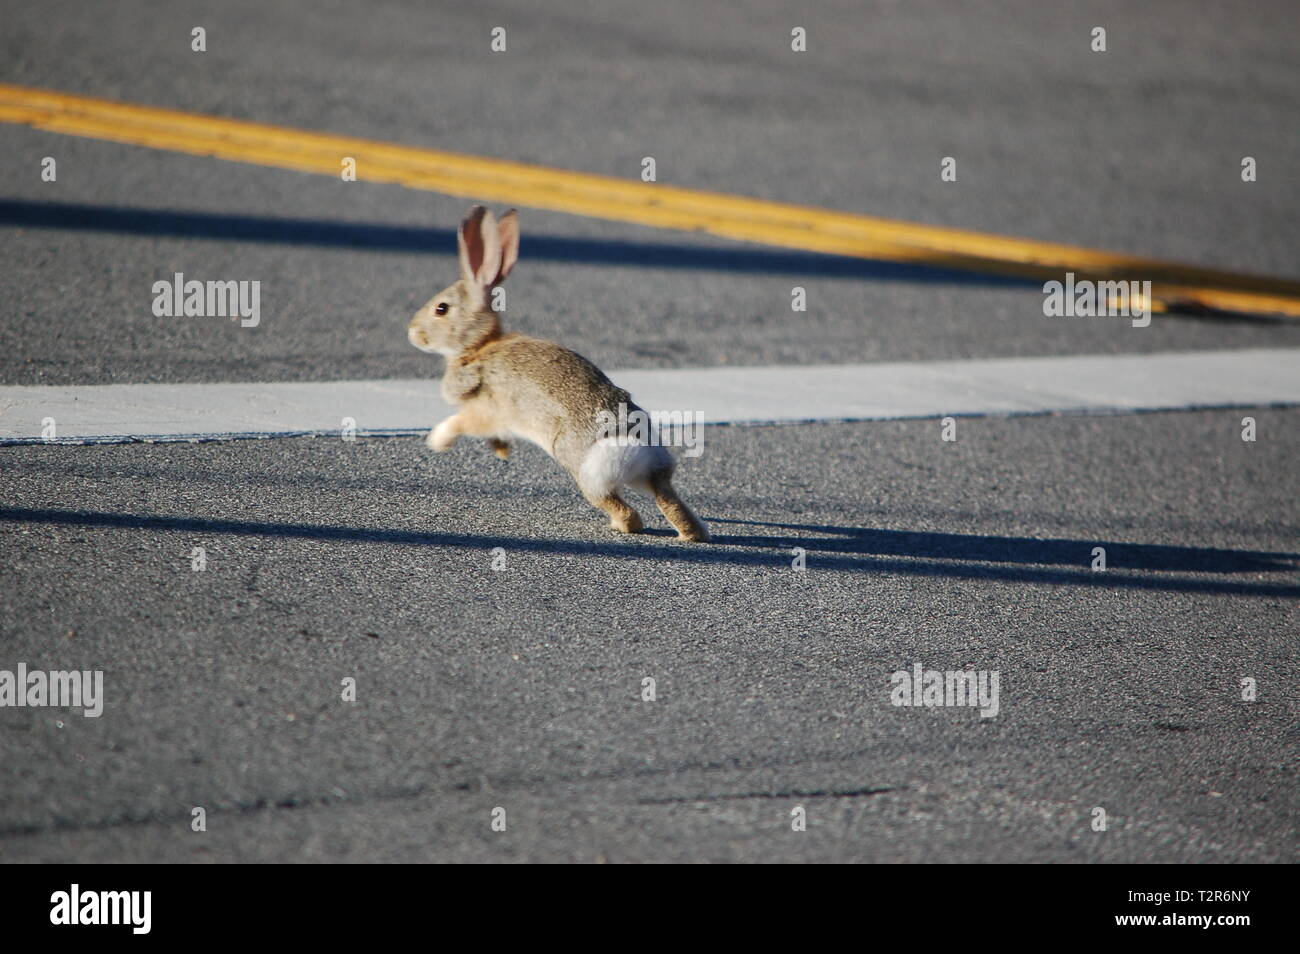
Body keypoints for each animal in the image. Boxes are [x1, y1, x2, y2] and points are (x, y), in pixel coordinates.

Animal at [407, 206, 710, 542]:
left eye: (441, 309)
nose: (413, 333)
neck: (479, 345)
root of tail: (631, 447)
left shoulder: (485, 410)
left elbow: (460, 422)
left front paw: (437, 442)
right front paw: (501, 453)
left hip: (584, 471)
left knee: (625, 512)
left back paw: (618, 525)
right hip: (654, 472)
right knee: (667, 498)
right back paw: (691, 534)